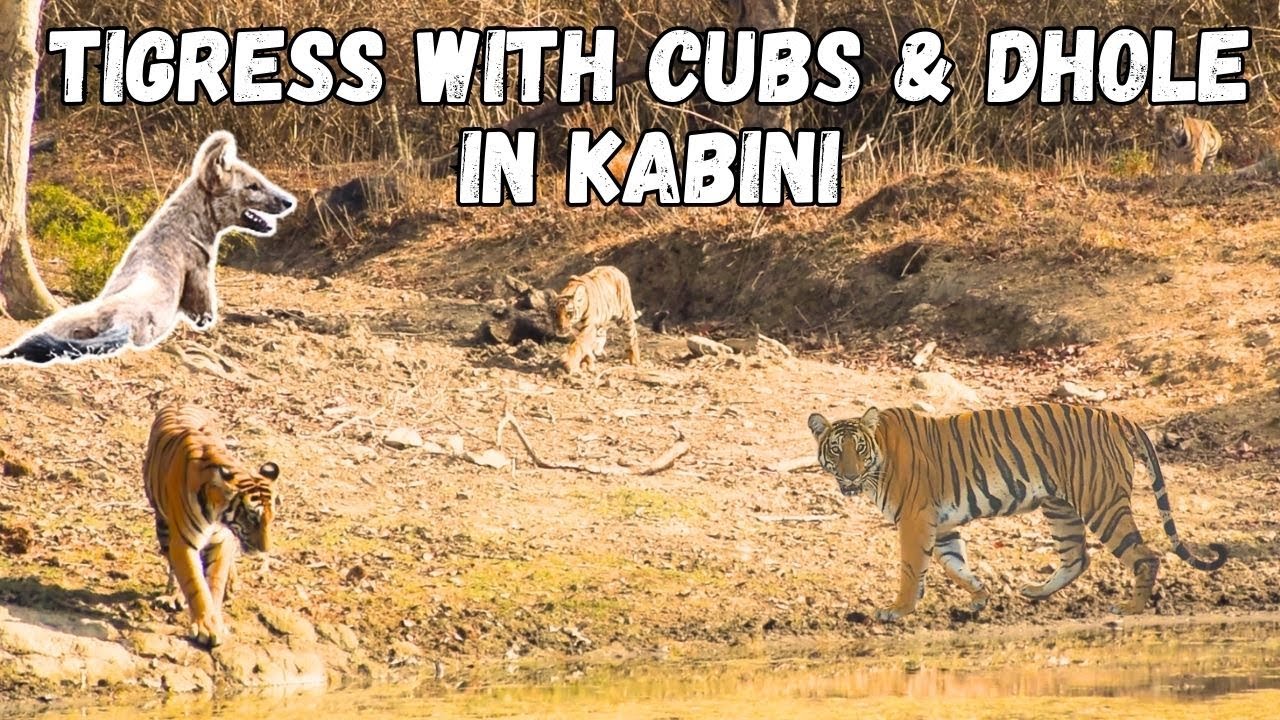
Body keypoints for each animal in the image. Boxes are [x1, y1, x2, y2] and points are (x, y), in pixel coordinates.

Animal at [143, 403, 280, 647]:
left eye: (271, 518)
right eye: (252, 517)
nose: (266, 550)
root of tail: (180, 400)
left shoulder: (223, 540)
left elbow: (214, 581)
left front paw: (216, 620)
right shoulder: (183, 543)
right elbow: (195, 584)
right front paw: (207, 627)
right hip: (164, 525)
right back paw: (174, 595)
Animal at [807, 403, 1227, 623]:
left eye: (859, 449)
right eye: (836, 450)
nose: (849, 475)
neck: (879, 462)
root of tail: (1113, 414)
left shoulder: (916, 518)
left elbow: (912, 569)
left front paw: (897, 609)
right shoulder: (940, 524)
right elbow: (953, 563)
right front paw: (979, 595)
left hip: (1101, 502)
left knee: (1145, 555)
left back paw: (1131, 607)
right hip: (1061, 507)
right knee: (1077, 557)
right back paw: (1037, 591)